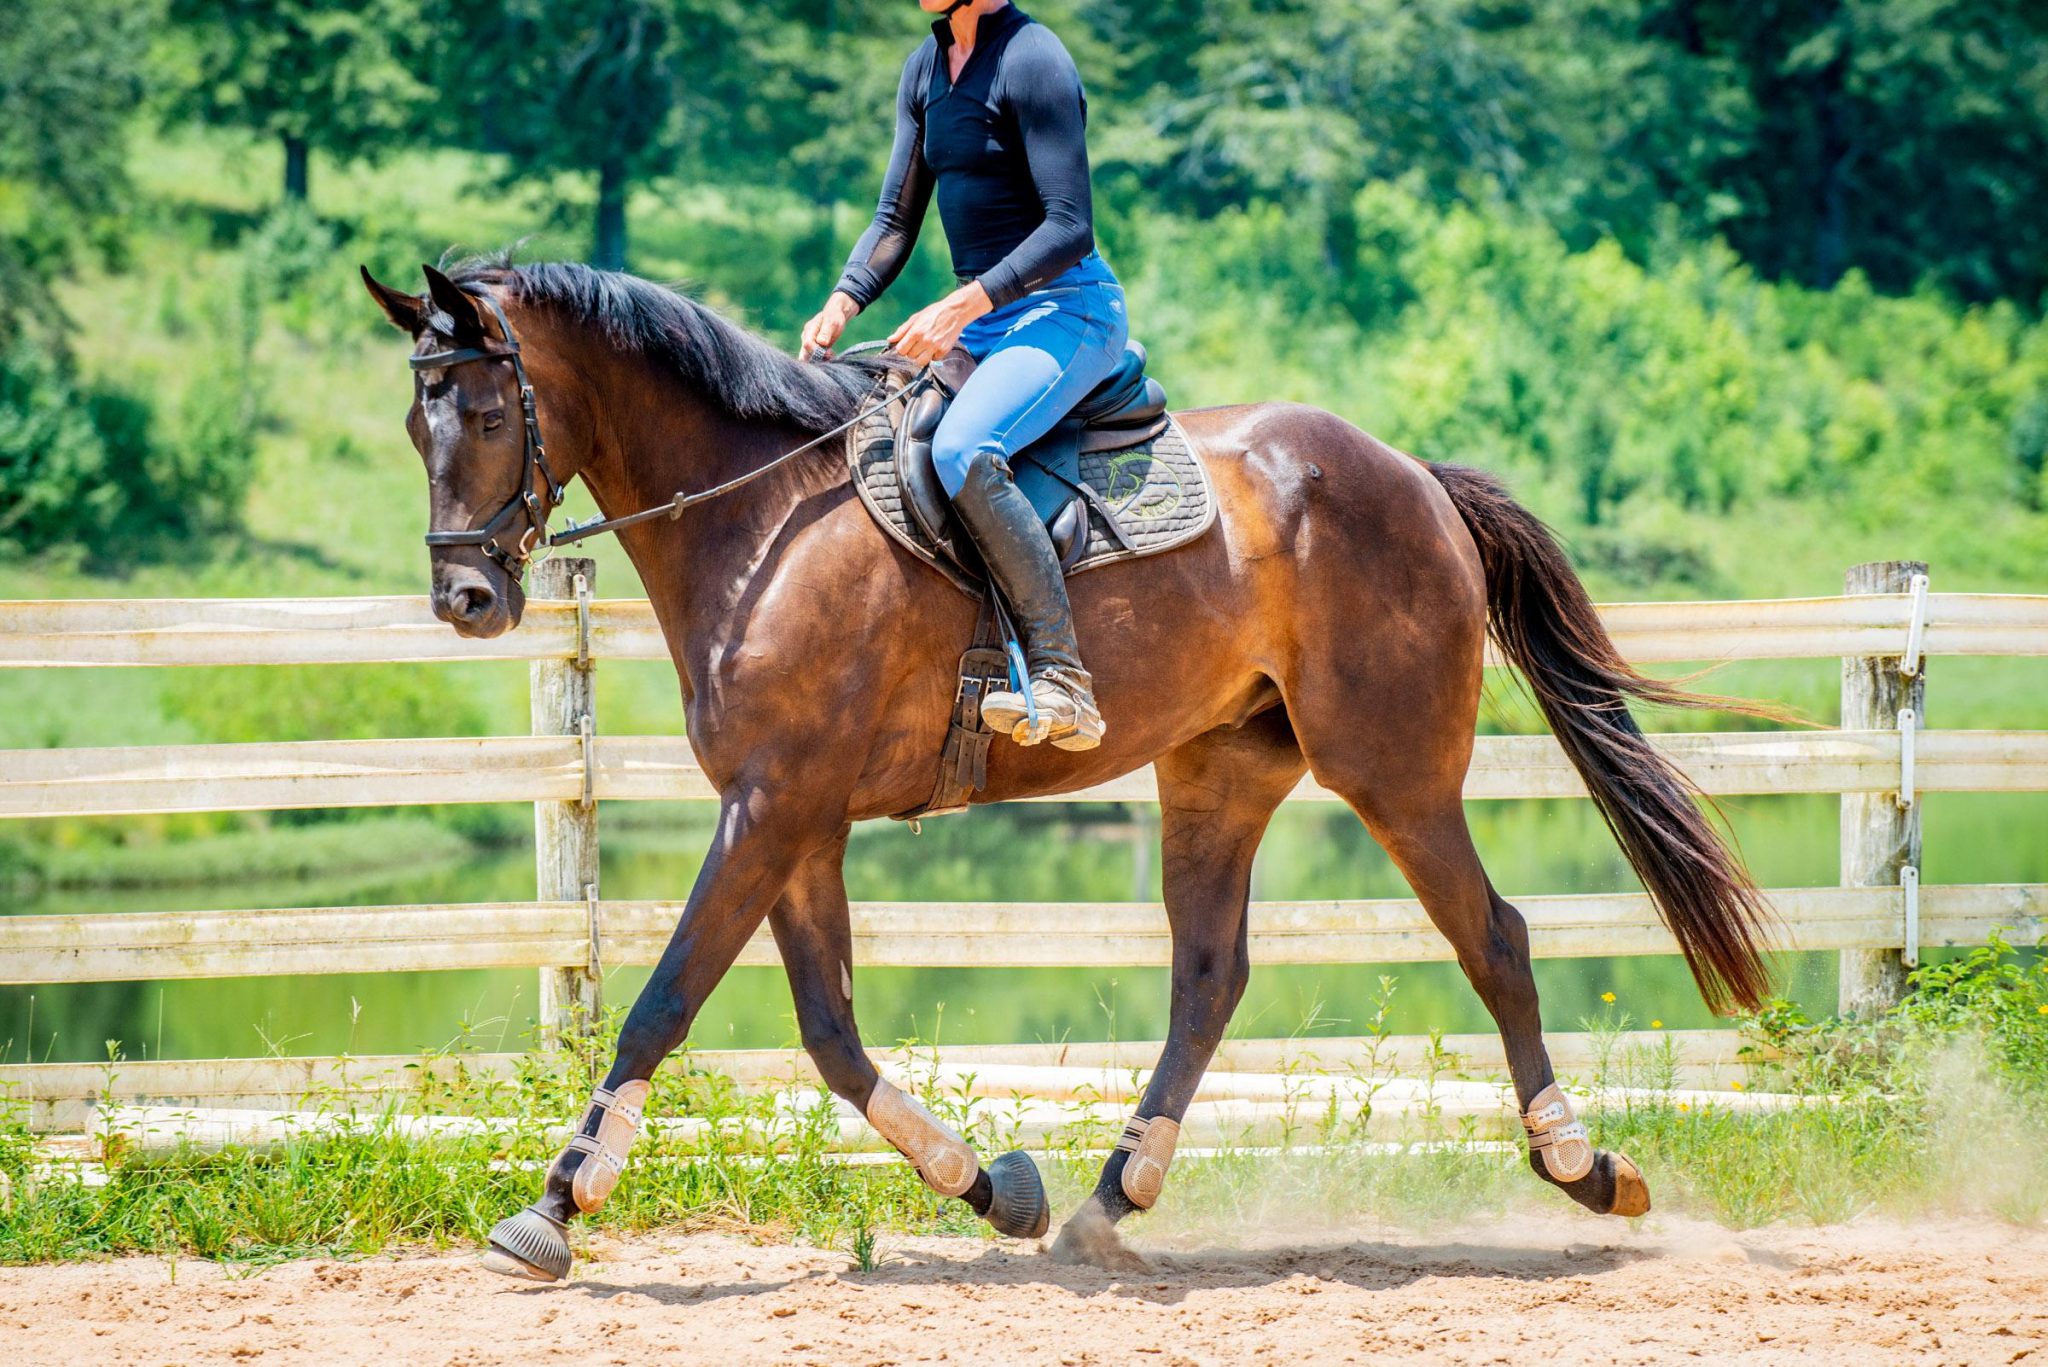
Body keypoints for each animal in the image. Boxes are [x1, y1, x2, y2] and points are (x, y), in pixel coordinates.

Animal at [361, 257, 1772, 1280]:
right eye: (414, 425)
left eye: (484, 410)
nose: (467, 599)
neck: (763, 519)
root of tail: (1410, 475)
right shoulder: (794, 817)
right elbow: (830, 1034)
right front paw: (995, 1188)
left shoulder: (769, 808)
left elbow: (663, 1001)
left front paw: (557, 1202)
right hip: (1219, 773)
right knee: (1209, 975)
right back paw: (1108, 1199)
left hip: (1396, 773)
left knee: (1494, 937)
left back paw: (1585, 1167)